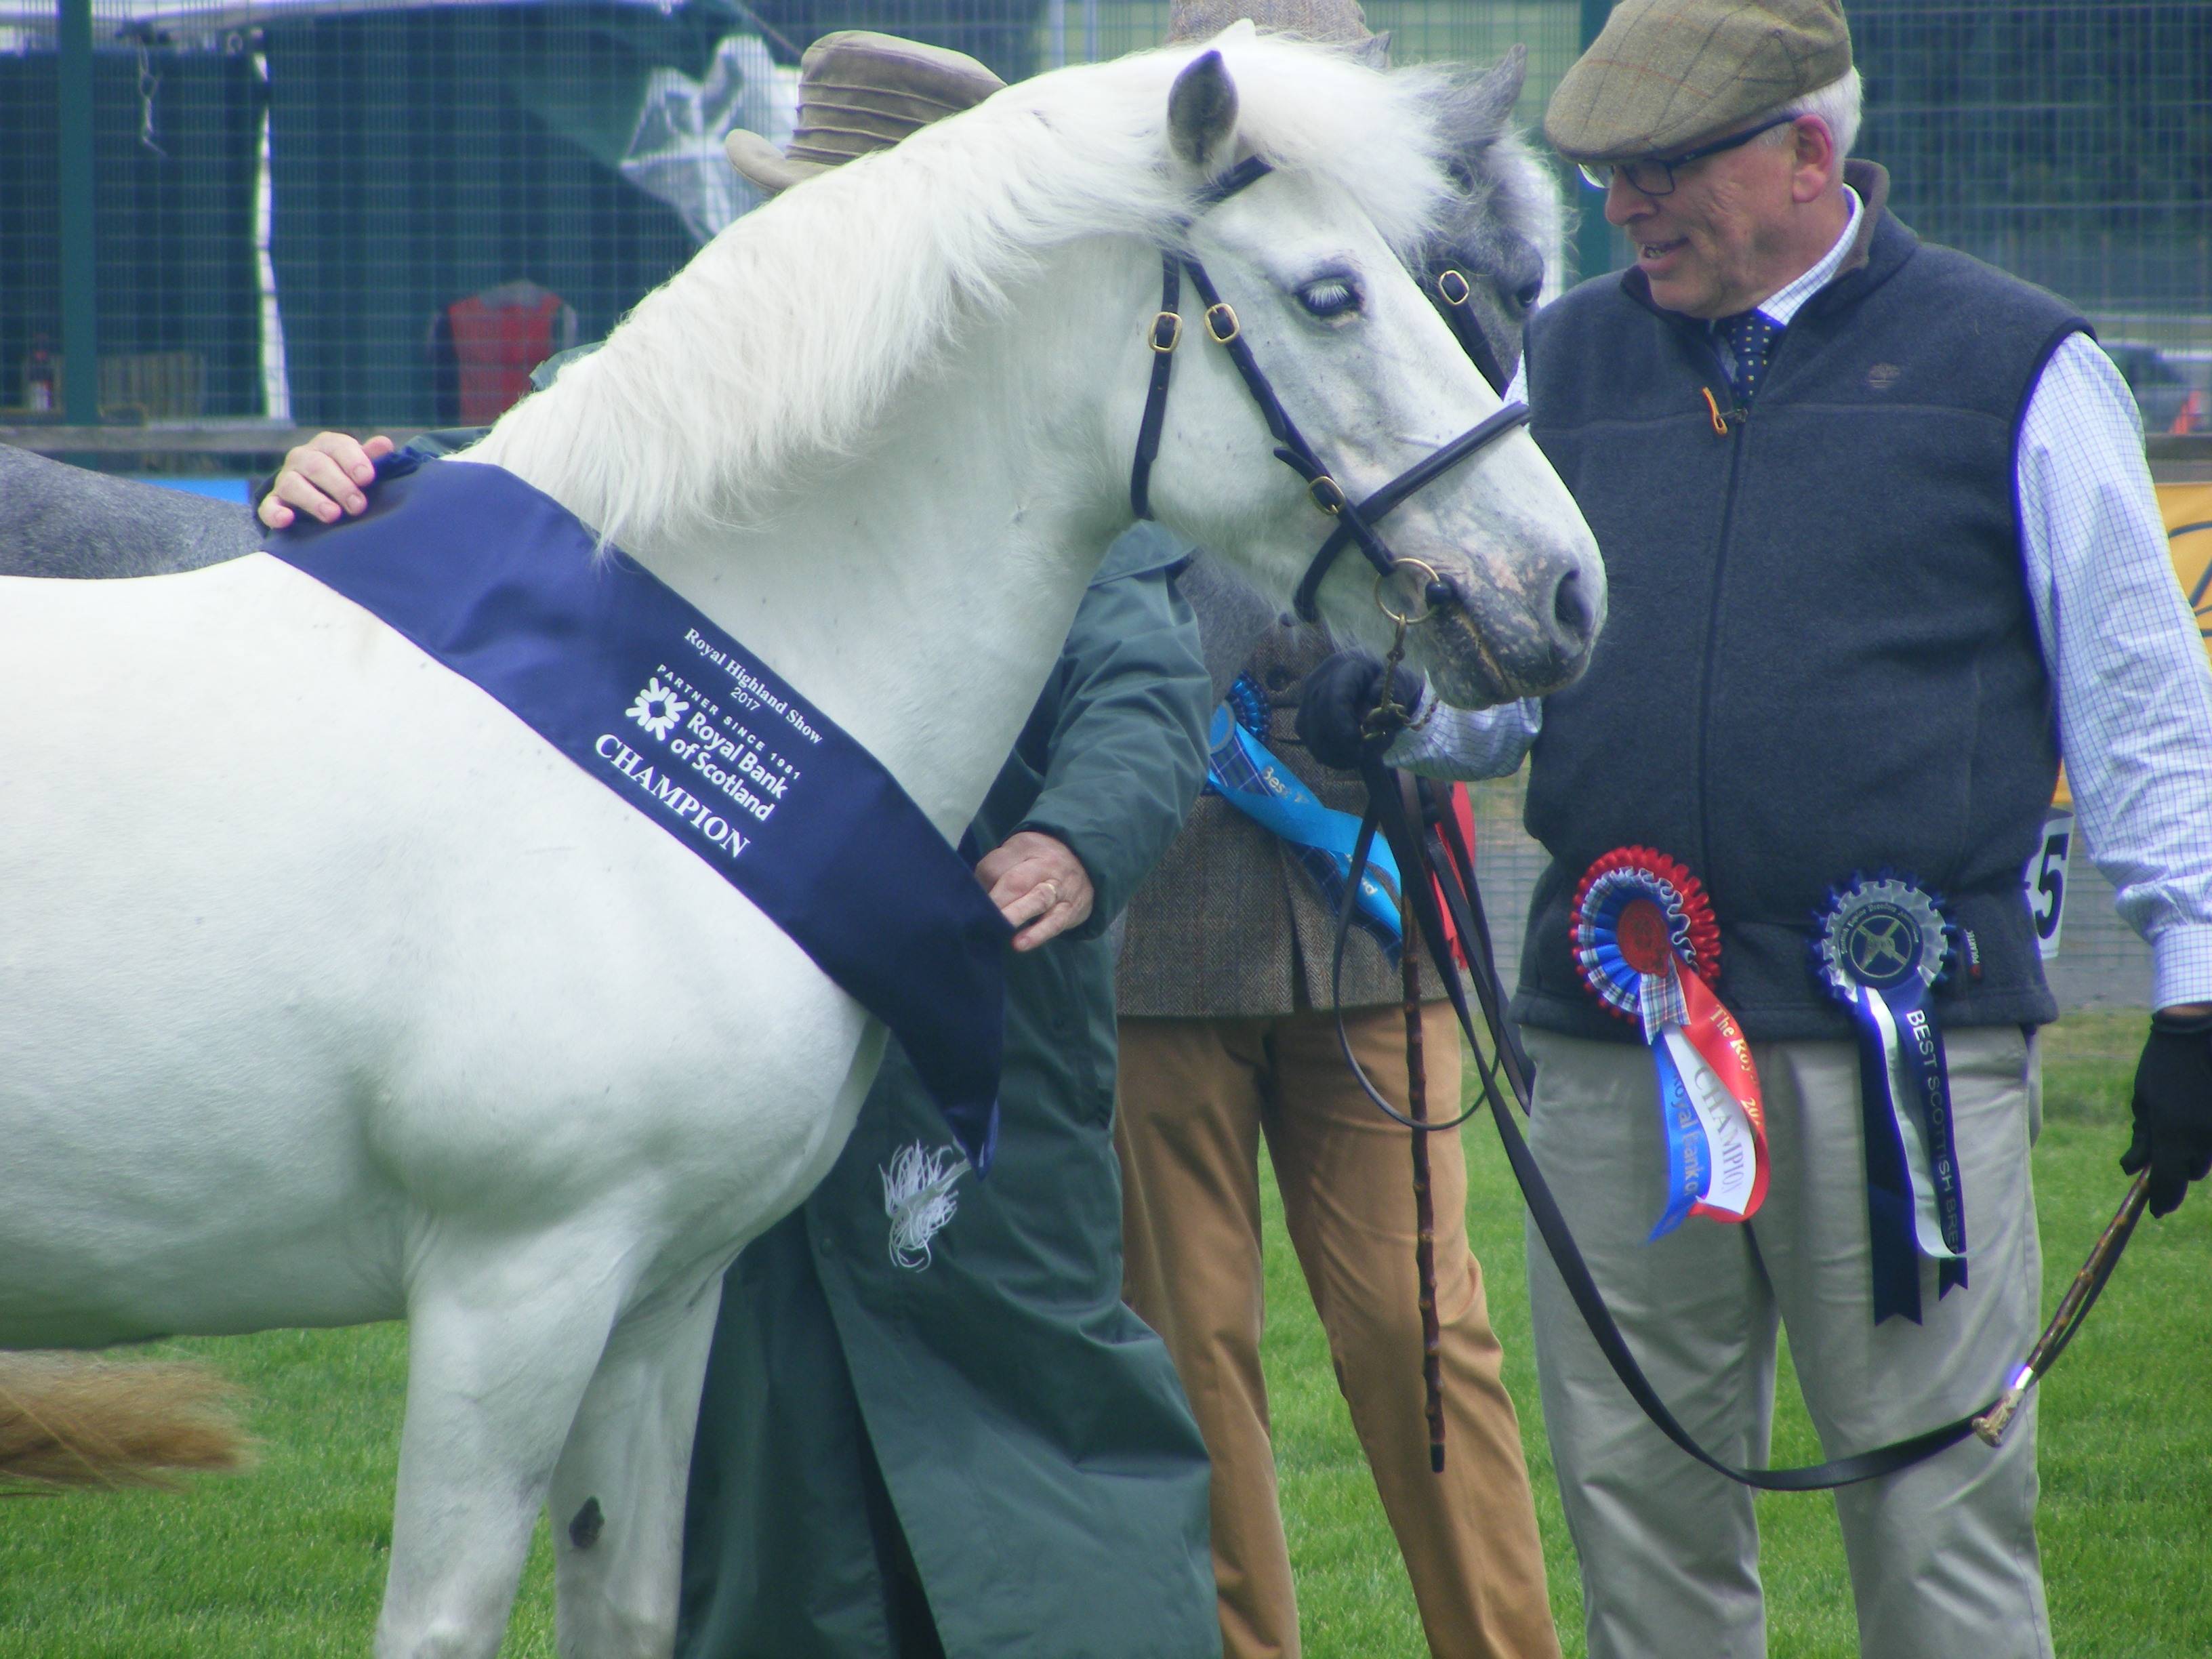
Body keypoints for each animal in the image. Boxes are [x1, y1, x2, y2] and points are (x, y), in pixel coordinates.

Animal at [0, 31, 1599, 1656]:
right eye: (1334, 292)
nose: (1562, 590)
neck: (634, 753)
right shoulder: (513, 1288)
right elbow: (443, 1616)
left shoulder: (656, 1294)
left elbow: (627, 1597)